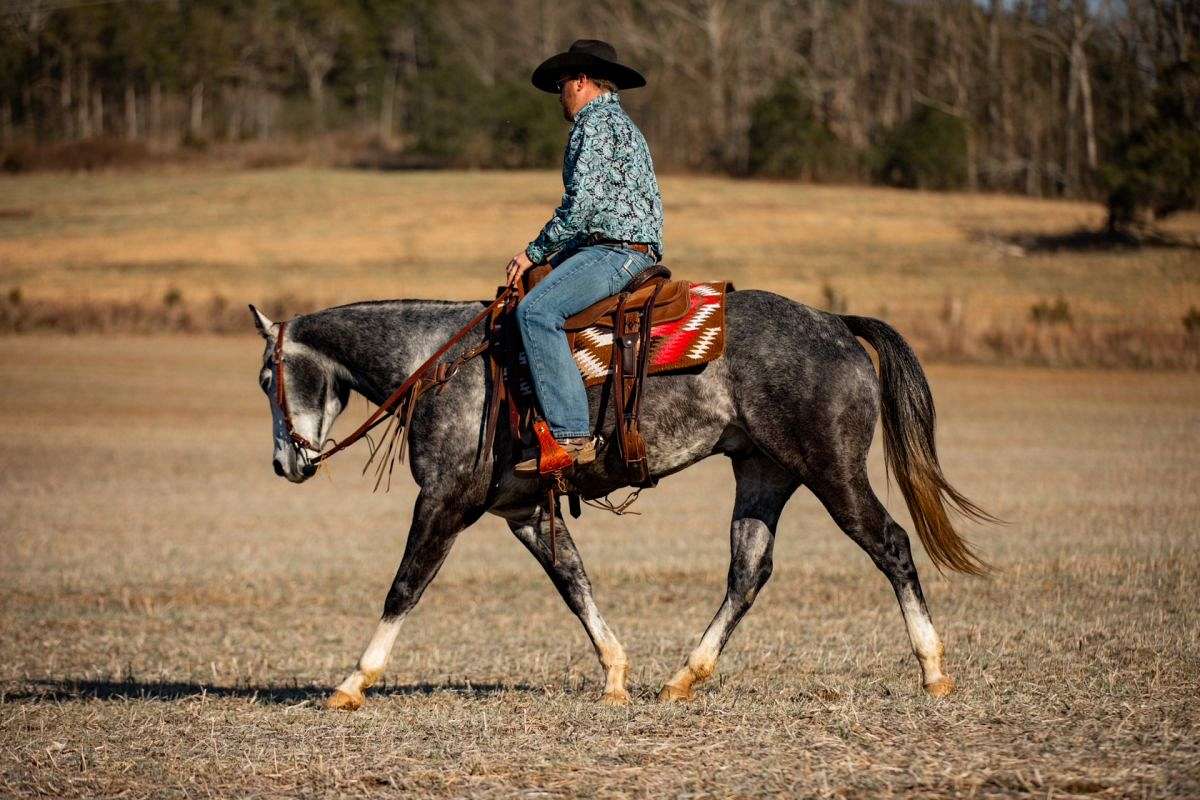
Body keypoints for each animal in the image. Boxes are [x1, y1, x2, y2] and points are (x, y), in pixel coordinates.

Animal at [249, 288, 990, 710]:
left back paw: (933, 670)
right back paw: (684, 676)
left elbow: (404, 587)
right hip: (763, 475)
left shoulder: (443, 501)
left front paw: (352, 683)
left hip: (833, 472)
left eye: (265, 378)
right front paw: (615, 677)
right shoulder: (524, 513)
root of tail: (835, 323)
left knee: (891, 545)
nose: (285, 463)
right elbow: (575, 586)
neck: (440, 364)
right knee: (748, 572)